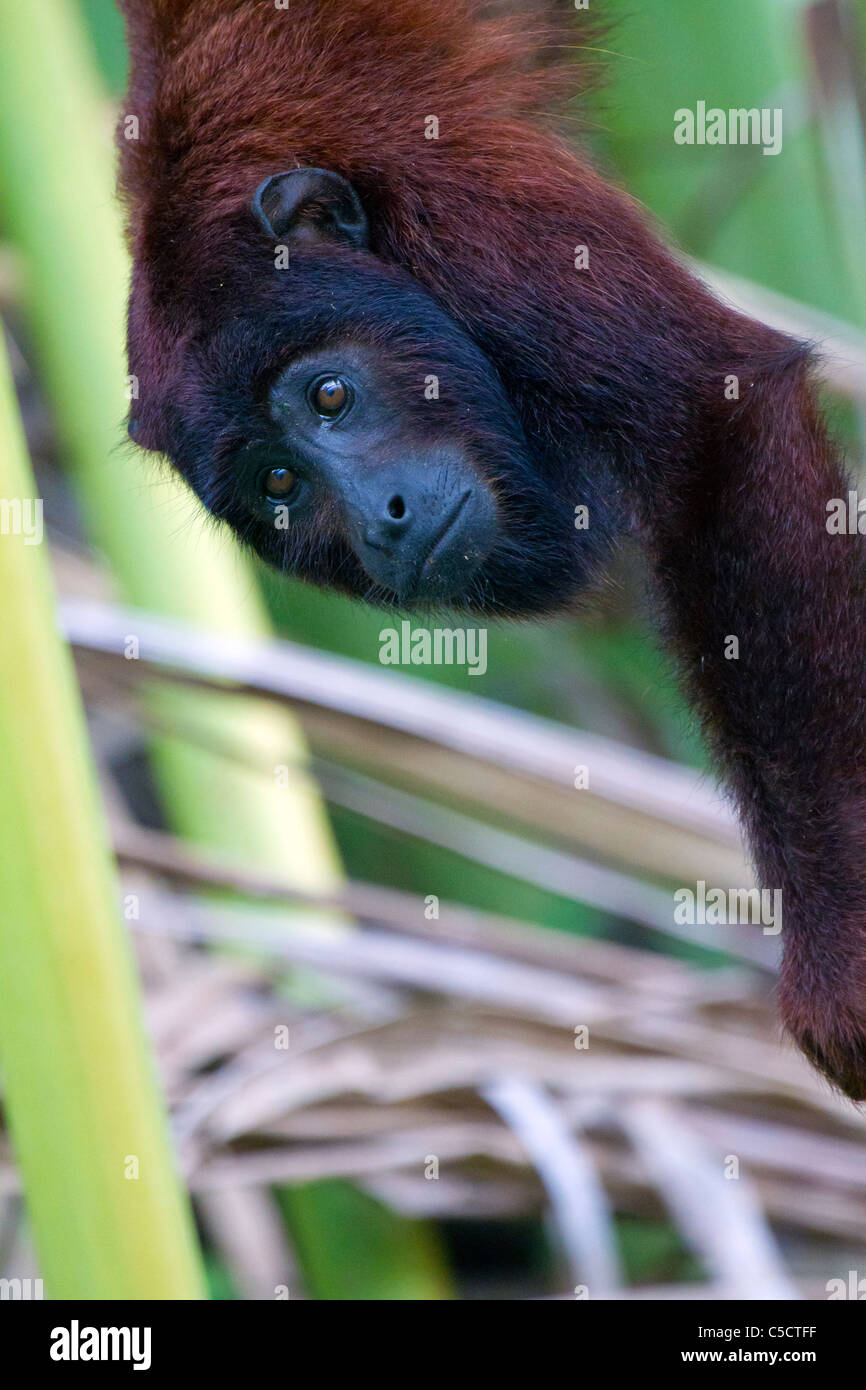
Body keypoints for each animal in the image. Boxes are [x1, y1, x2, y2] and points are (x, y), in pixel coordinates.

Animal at [116, 0, 866, 1100]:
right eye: (280, 487)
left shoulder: (471, 225)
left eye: (330, 394)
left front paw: (840, 964)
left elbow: (716, 421)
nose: (381, 517)